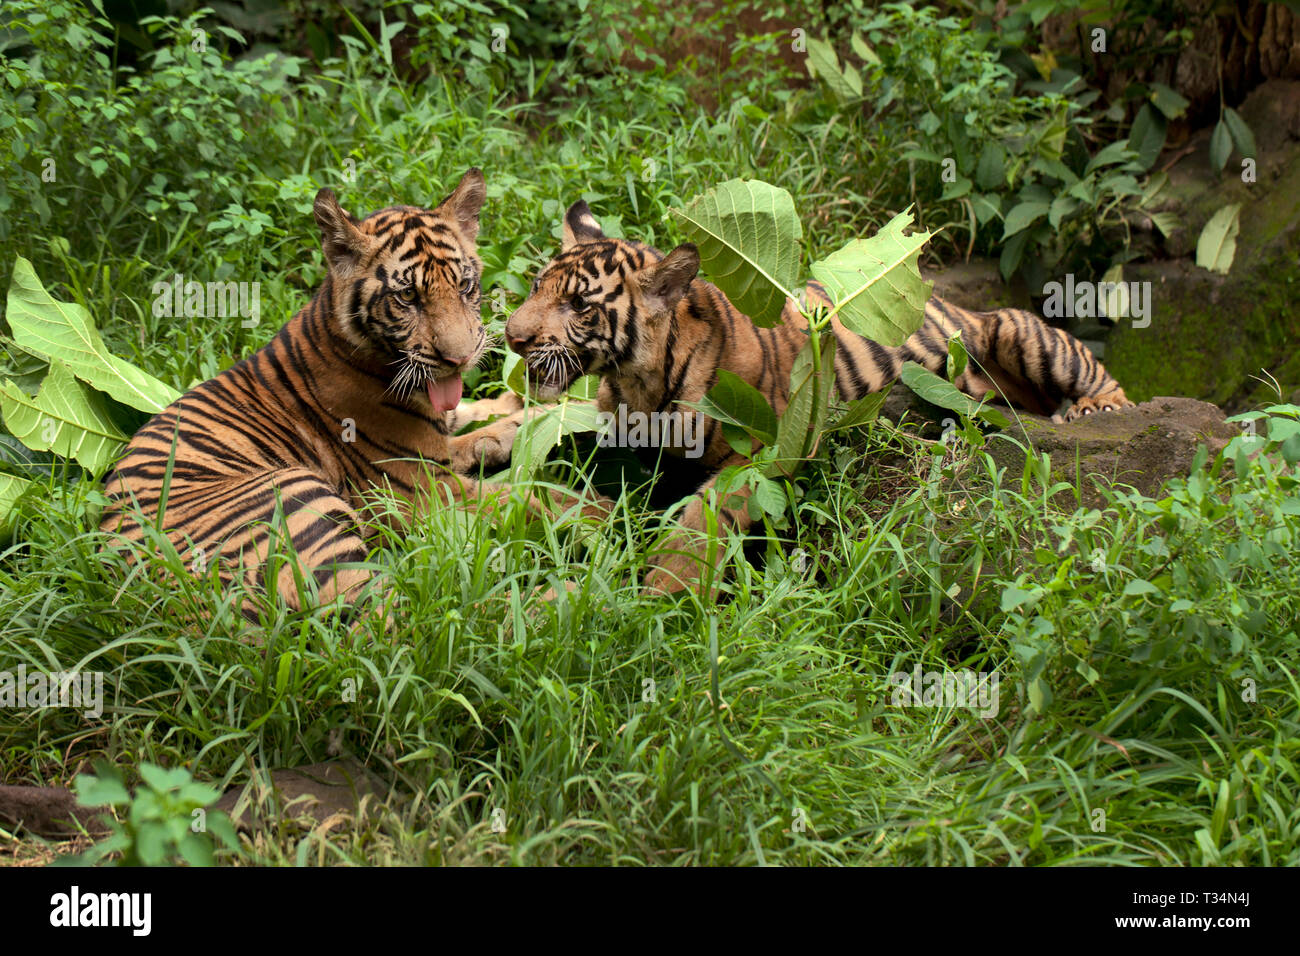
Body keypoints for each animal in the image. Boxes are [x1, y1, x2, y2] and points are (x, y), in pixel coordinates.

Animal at [100, 169, 560, 613]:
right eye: (407, 296)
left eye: (464, 285)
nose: (460, 359)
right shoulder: (422, 486)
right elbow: (530, 502)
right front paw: (577, 515)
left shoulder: (438, 440)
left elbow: (484, 420)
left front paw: (546, 410)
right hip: (297, 498)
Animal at [504, 200, 1135, 593]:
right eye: (536, 287)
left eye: (579, 306)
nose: (512, 337)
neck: (638, 378)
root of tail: (958, 303)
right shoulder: (623, 454)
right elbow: (567, 488)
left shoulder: (767, 448)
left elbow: (708, 511)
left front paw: (668, 582)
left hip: (1022, 333)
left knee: (1101, 376)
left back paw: (1099, 409)